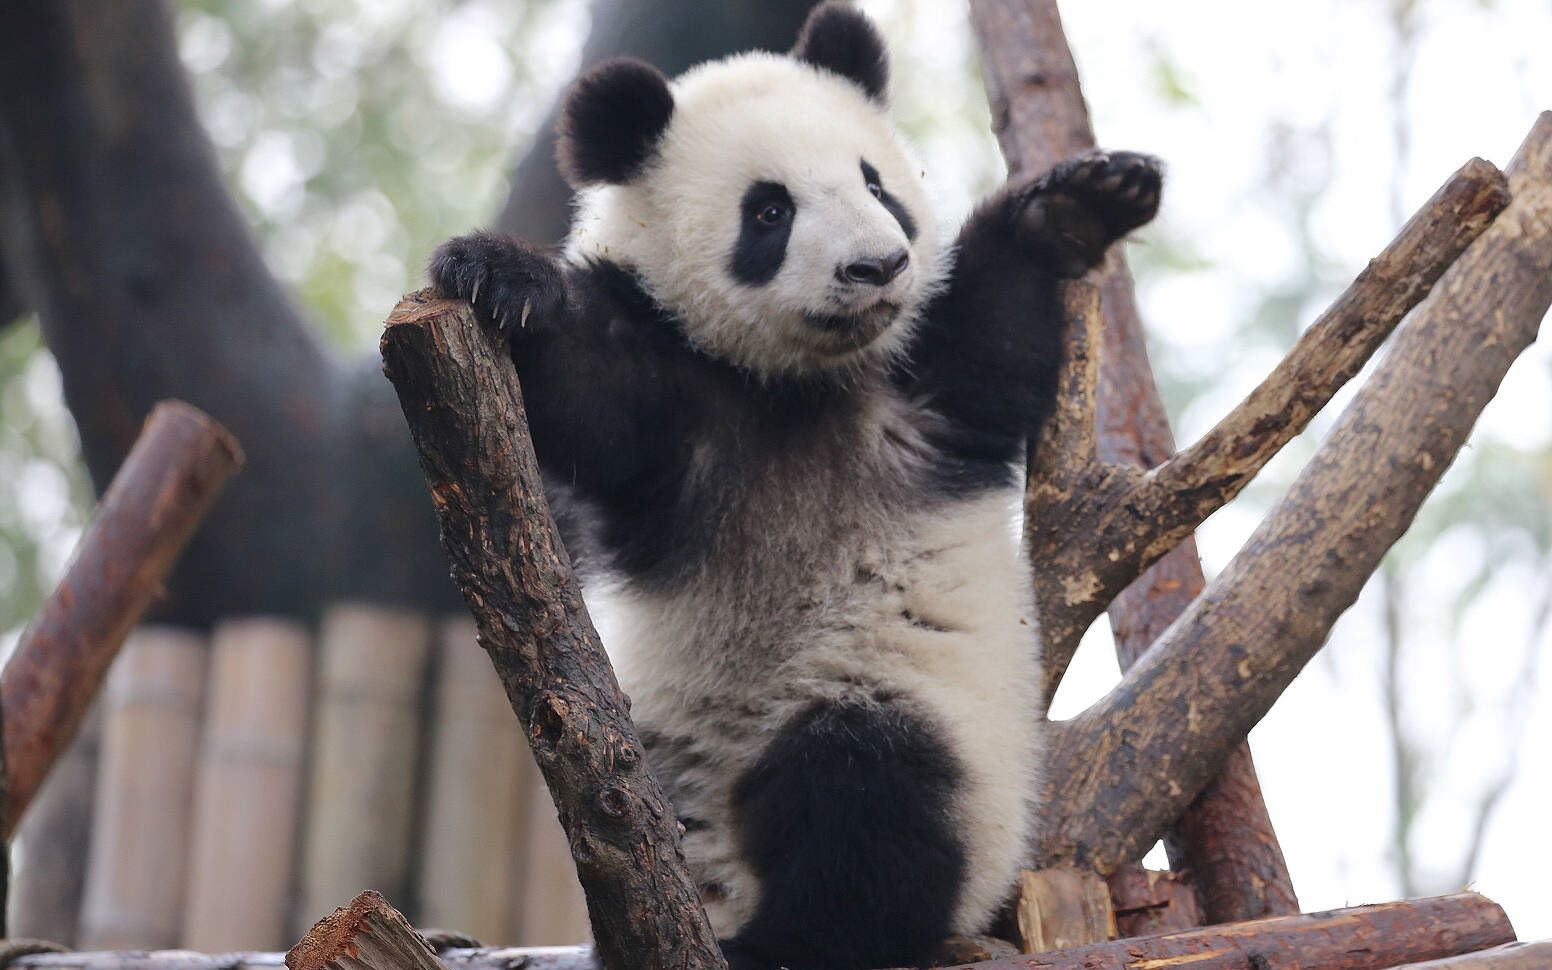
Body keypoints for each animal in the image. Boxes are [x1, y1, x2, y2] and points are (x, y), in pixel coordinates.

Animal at [430, 5, 1160, 968]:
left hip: (905, 701)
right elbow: (590, 383)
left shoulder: (921, 394)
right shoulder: (674, 398)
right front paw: (496, 274)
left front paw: (1083, 202)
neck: (793, 383)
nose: (876, 267)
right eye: (769, 211)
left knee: (869, 789)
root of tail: (725, 879)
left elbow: (998, 323)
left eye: (876, 184)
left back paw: (794, 934)